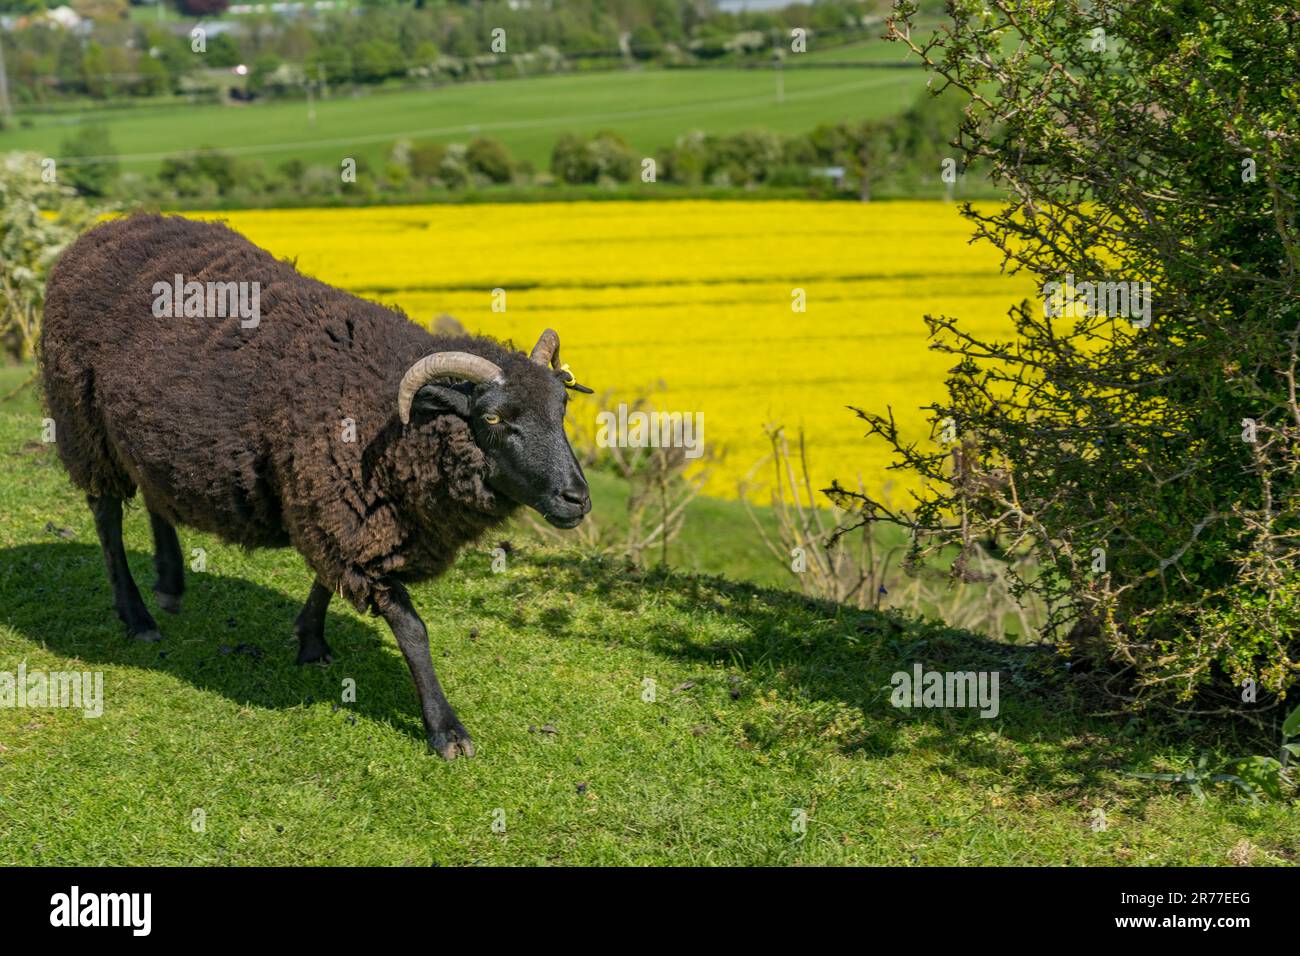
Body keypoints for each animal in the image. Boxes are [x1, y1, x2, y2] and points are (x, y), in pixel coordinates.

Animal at [39, 213, 592, 759]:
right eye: (493, 418)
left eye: (562, 407)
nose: (577, 498)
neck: (388, 410)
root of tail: (105, 229)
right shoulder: (344, 508)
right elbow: (412, 629)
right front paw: (445, 729)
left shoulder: (340, 509)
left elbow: (327, 579)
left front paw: (310, 642)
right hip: (84, 425)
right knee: (107, 519)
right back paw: (137, 617)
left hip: (148, 436)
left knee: (157, 495)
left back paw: (170, 584)